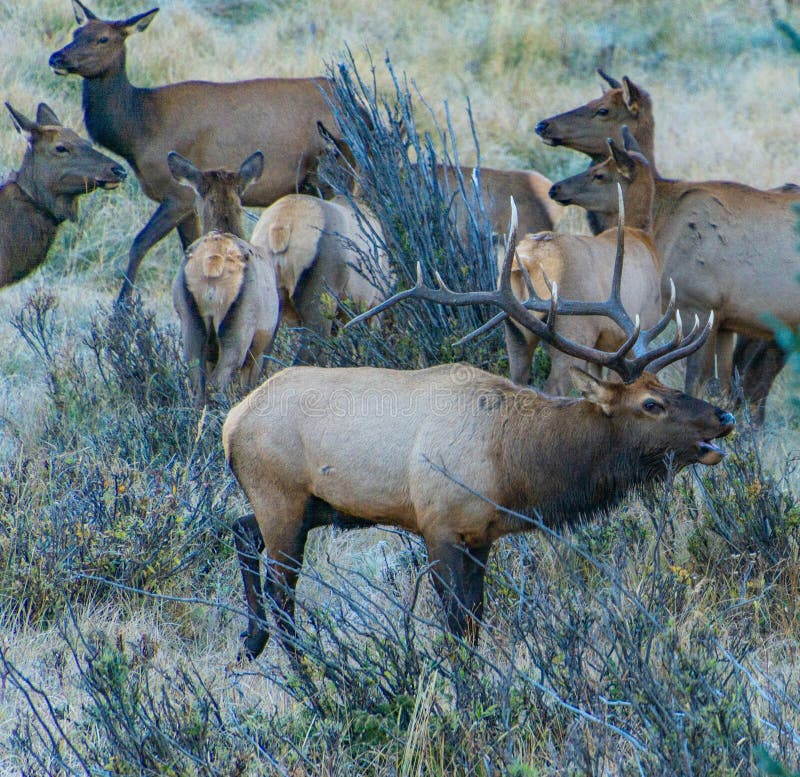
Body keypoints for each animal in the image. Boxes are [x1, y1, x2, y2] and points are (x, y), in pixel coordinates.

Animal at [49, 0, 349, 305]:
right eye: (76, 32)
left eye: (103, 38)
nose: (56, 58)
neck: (138, 132)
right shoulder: (189, 202)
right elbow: (190, 249)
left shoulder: (178, 194)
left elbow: (139, 243)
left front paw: (123, 307)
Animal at [169, 151, 280, 407]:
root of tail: (212, 268)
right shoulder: (263, 345)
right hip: (239, 330)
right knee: (216, 384)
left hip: (191, 327)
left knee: (197, 387)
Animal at [223, 198, 735, 660]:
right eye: (652, 403)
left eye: (665, 388)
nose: (724, 418)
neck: (511, 465)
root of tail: (232, 421)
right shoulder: (439, 525)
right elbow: (455, 627)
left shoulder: (481, 537)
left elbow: (474, 623)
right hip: (281, 495)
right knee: (282, 591)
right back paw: (304, 670)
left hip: (314, 504)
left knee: (242, 529)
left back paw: (251, 641)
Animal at [504, 129, 661, 392]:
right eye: (597, 168)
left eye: (599, 174)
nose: (555, 188)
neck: (643, 235)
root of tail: (529, 261)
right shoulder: (636, 332)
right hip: (572, 329)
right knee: (555, 386)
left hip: (514, 331)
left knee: (516, 378)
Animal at [535, 70, 800, 423]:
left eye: (603, 109)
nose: (543, 125)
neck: (659, 230)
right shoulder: (727, 320)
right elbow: (724, 391)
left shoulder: (698, 305)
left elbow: (697, 386)